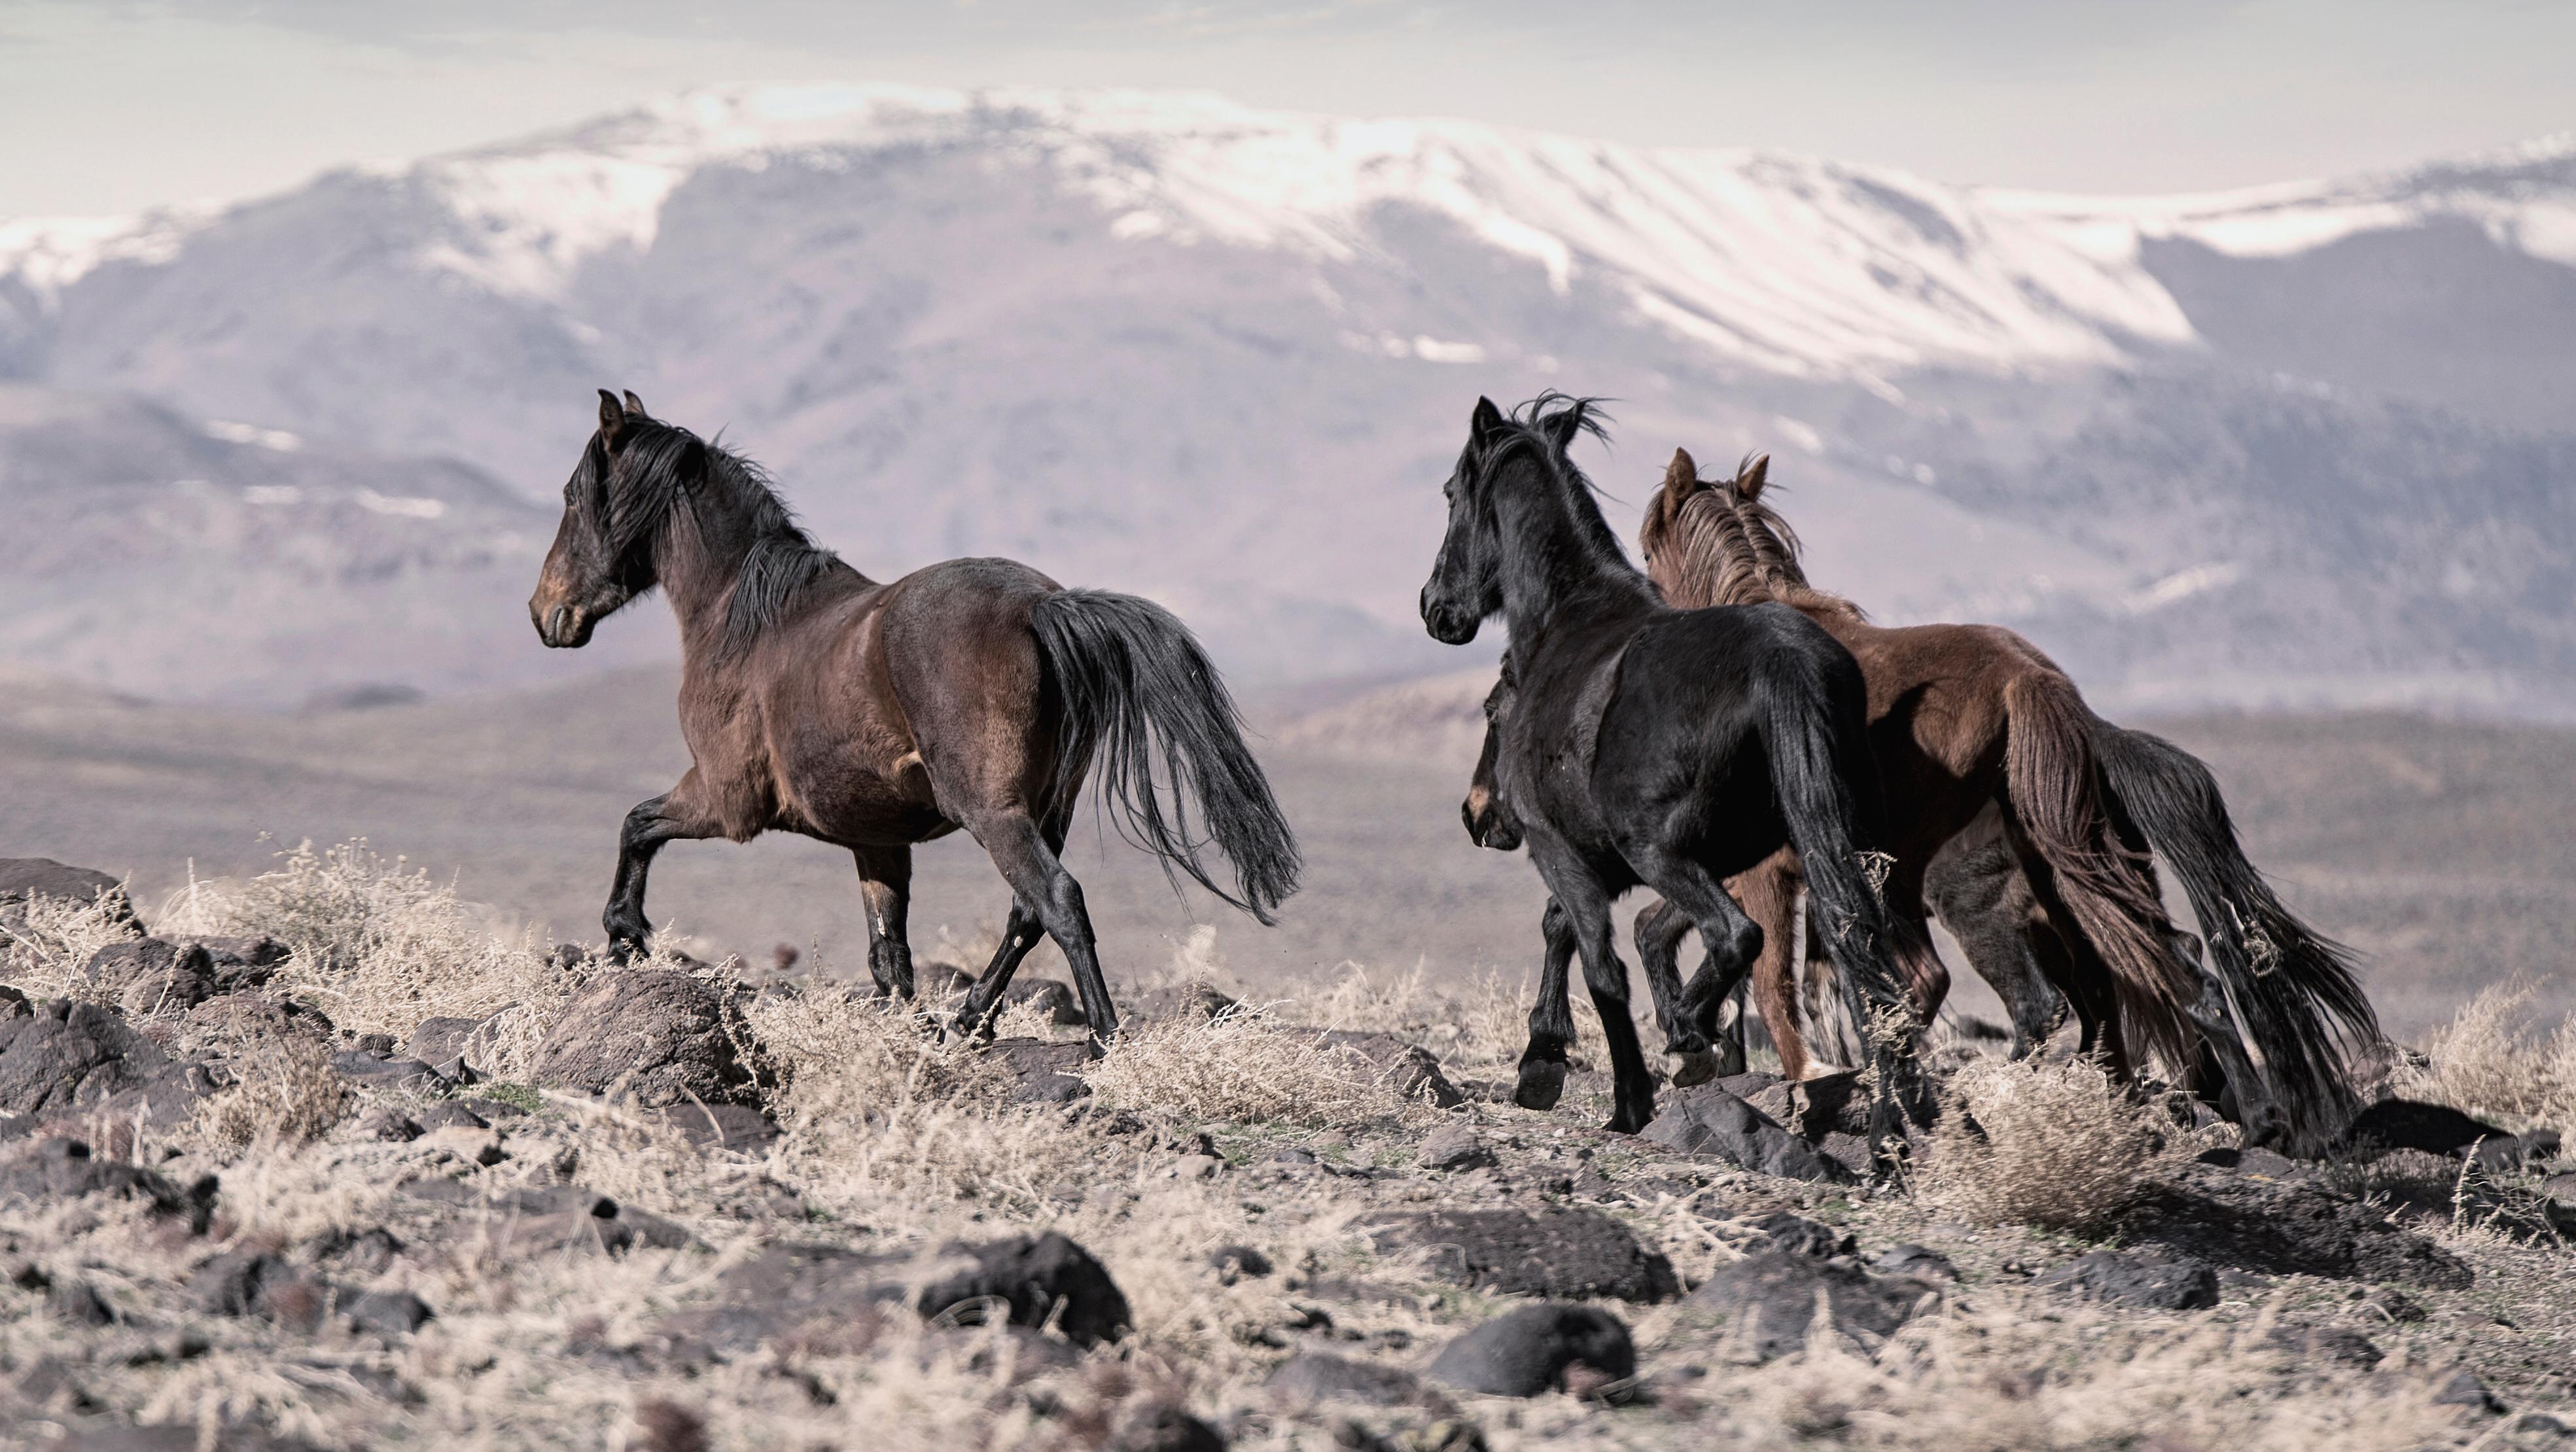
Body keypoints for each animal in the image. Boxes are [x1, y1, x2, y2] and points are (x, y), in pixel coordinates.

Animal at [528, 390, 1300, 1049]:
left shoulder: (726, 800)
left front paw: (625, 934)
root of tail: (1039, 605)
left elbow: (635, 823)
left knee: (1057, 899)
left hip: (993, 812)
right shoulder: (876, 841)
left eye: (571, 495)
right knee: (1026, 914)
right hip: (1043, 809)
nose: (545, 613)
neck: (740, 618)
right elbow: (888, 956)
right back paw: (967, 1020)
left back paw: (1104, 1039)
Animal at [1419, 393, 1935, 1139]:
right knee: (1875, 971)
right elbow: (1567, 928)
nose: (1435, 608)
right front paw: (1543, 1057)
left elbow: (1600, 962)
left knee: (1737, 936)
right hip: (1843, 854)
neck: (1566, 623)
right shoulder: (1605, 856)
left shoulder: (1560, 847)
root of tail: (1784, 658)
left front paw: (1623, 1094)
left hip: (1667, 854)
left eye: (1450, 493)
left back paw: (1694, 1035)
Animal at [1639, 449, 2378, 1151]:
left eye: (1648, 549)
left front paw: (1787, 1076)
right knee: (2159, 971)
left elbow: (1774, 979)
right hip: (2057, 874)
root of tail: (2030, 679)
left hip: (1937, 882)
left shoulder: (1771, 874)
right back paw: (2249, 1114)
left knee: (1977, 986)